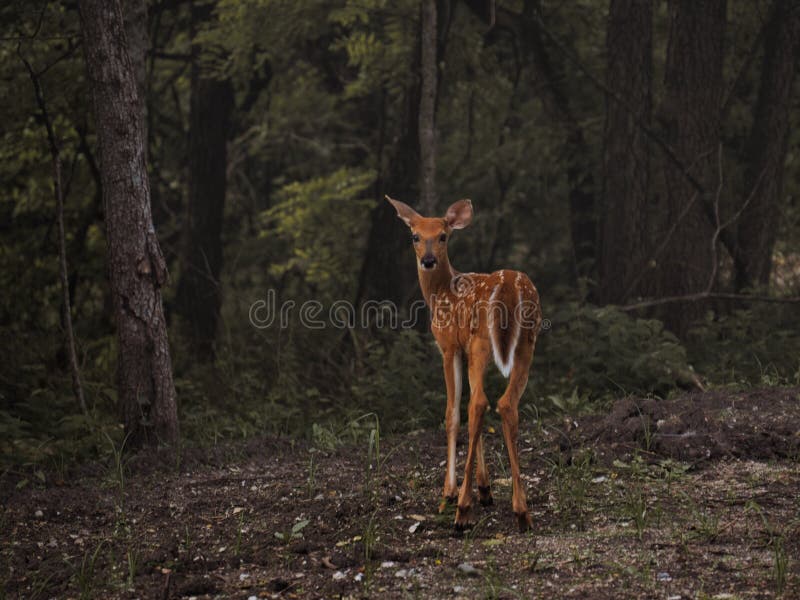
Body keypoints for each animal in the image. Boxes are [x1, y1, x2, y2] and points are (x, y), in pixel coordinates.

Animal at [386, 195, 542, 532]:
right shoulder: (467, 351)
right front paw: (485, 489)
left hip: (482, 340)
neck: (441, 292)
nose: (428, 260)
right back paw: (521, 511)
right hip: (526, 343)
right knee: (504, 403)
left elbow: (452, 413)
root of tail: (509, 289)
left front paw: (450, 492)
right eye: (415, 236)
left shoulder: (450, 346)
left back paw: (462, 510)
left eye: (443, 236)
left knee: (481, 403)